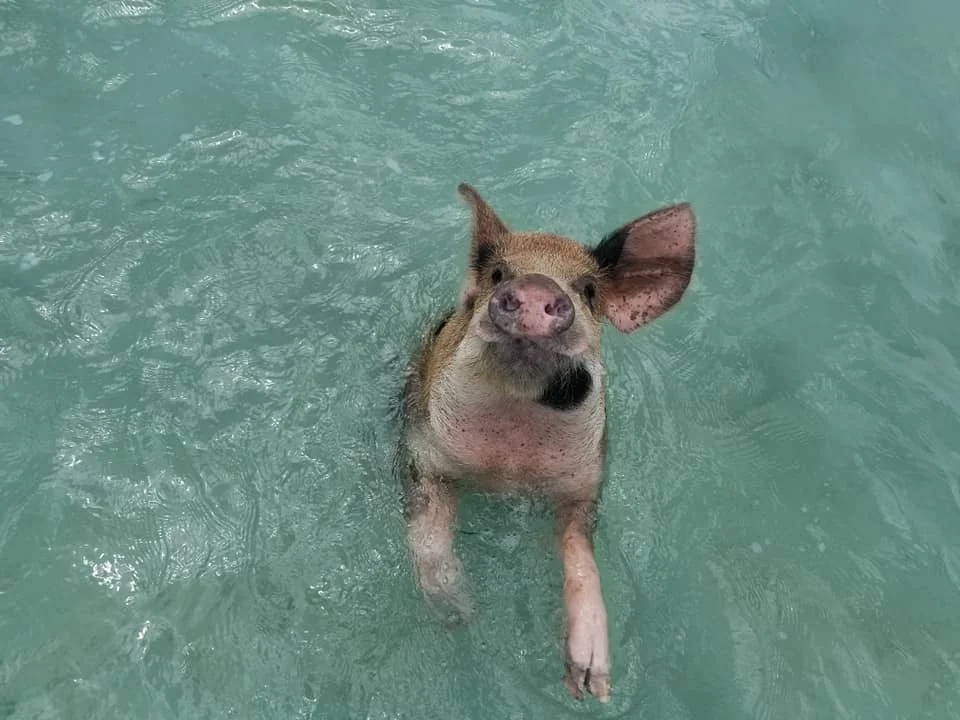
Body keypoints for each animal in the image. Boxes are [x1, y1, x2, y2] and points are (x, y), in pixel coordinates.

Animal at [397, 184, 696, 703]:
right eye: (499, 274)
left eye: (589, 290)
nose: (539, 287)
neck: (511, 465)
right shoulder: (424, 451)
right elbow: (430, 534)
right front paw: (459, 615)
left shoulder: (586, 481)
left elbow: (579, 554)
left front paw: (591, 687)